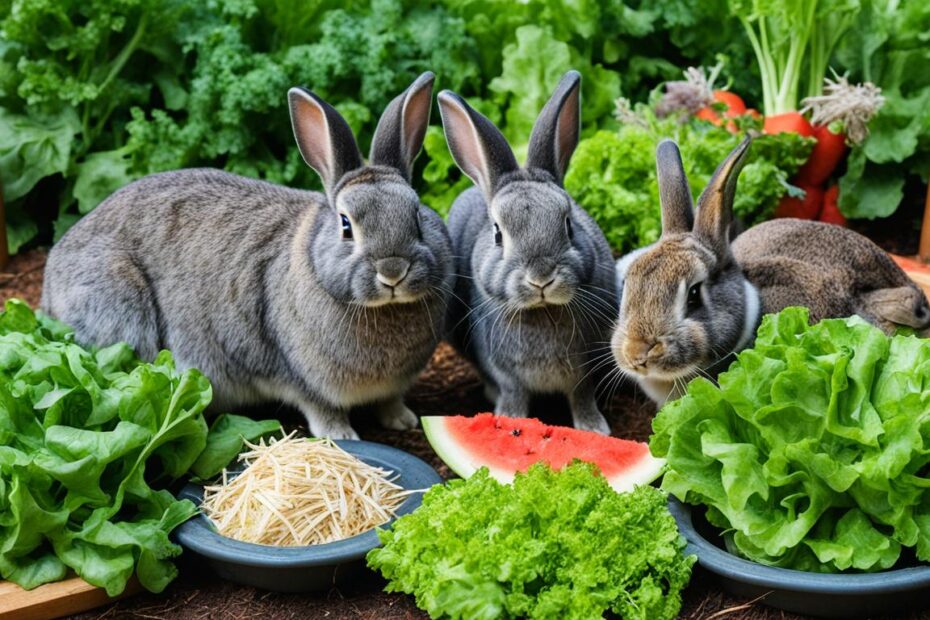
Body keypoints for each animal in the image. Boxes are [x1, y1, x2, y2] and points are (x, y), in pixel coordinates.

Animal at [41, 72, 453, 440]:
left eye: (418, 215)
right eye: (346, 225)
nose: (393, 271)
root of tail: (49, 286)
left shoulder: (394, 384)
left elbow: (390, 400)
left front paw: (403, 420)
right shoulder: (298, 376)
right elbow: (320, 407)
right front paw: (341, 435)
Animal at [438, 70, 618, 434]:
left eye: (568, 224)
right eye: (497, 233)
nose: (541, 278)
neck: (542, 311)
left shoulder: (584, 371)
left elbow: (582, 396)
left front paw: (594, 429)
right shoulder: (507, 373)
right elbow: (513, 395)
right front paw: (509, 422)